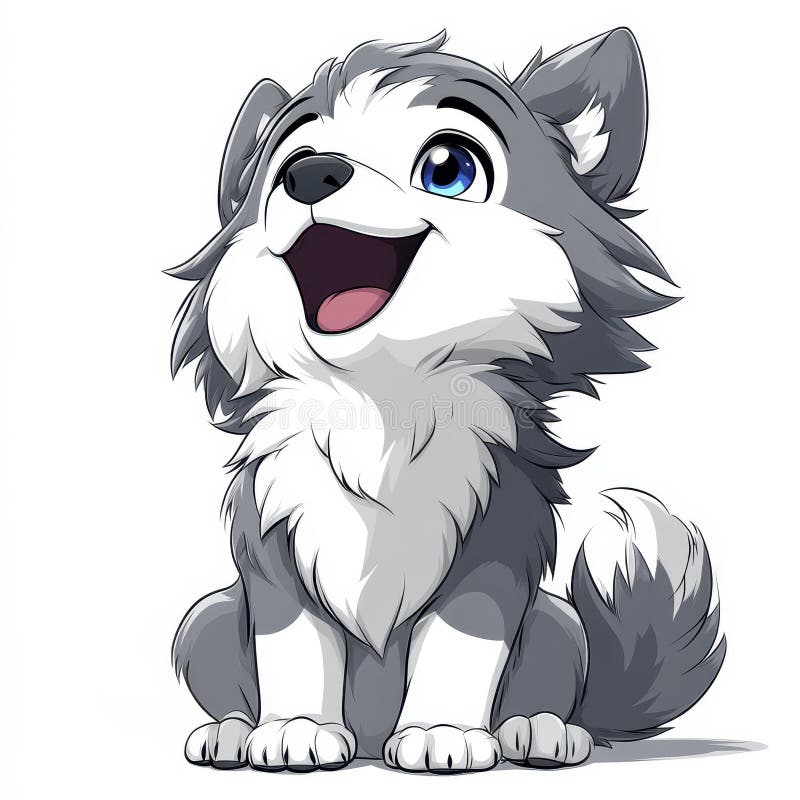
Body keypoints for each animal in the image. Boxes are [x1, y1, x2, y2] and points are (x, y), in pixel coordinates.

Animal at [168, 28, 725, 773]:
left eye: (448, 168)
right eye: (289, 158)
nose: (312, 173)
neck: (378, 400)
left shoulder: (494, 542)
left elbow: (463, 642)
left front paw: (442, 734)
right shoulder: (272, 545)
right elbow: (293, 645)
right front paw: (292, 729)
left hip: (558, 623)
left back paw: (540, 729)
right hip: (205, 617)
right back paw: (230, 730)